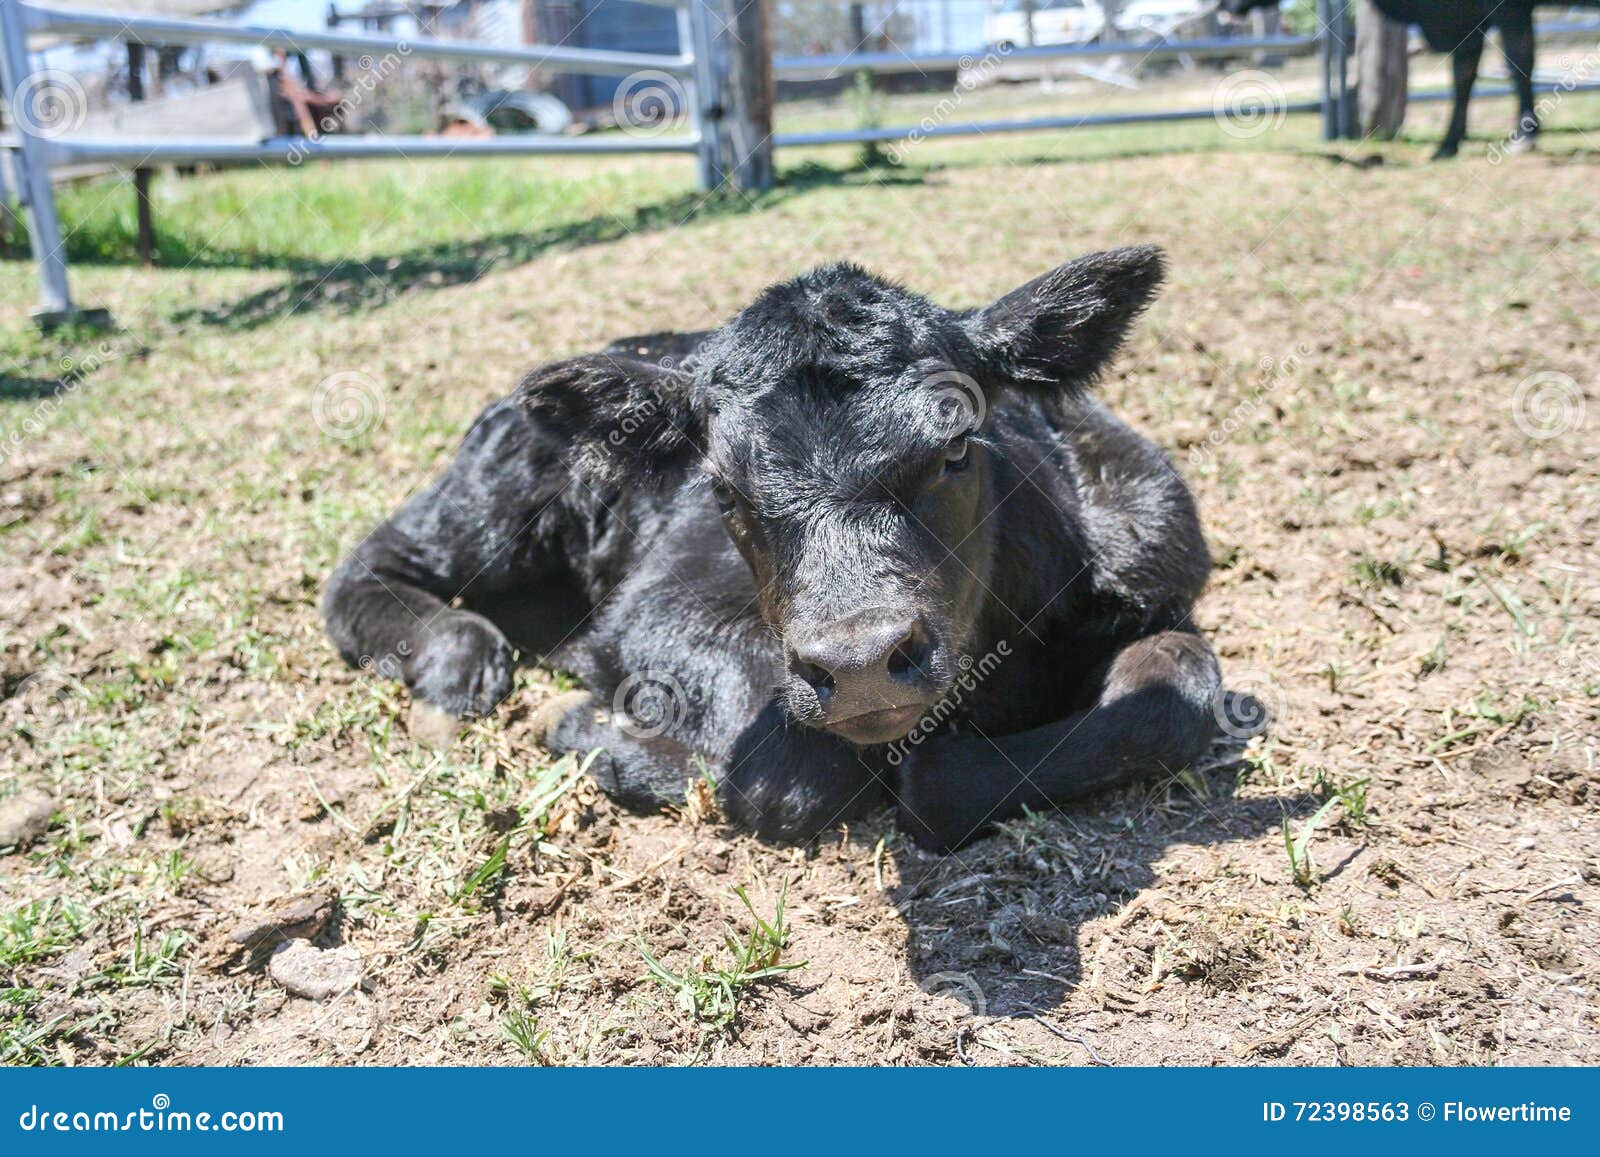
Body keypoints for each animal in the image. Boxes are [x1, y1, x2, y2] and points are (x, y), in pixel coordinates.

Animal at [322, 247, 1226, 852]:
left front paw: (944, 781)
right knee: (371, 562)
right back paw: (458, 656)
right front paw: (579, 723)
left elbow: (1179, 690)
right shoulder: (660, 608)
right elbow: (788, 772)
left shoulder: (1153, 548)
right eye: (722, 489)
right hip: (495, 504)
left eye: (956, 447)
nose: (862, 663)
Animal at [1222, 1, 1600, 158]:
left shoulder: (1510, 8)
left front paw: (1525, 135)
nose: (1225, 5)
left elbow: (1518, 65)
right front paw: (1449, 142)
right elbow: (1463, 75)